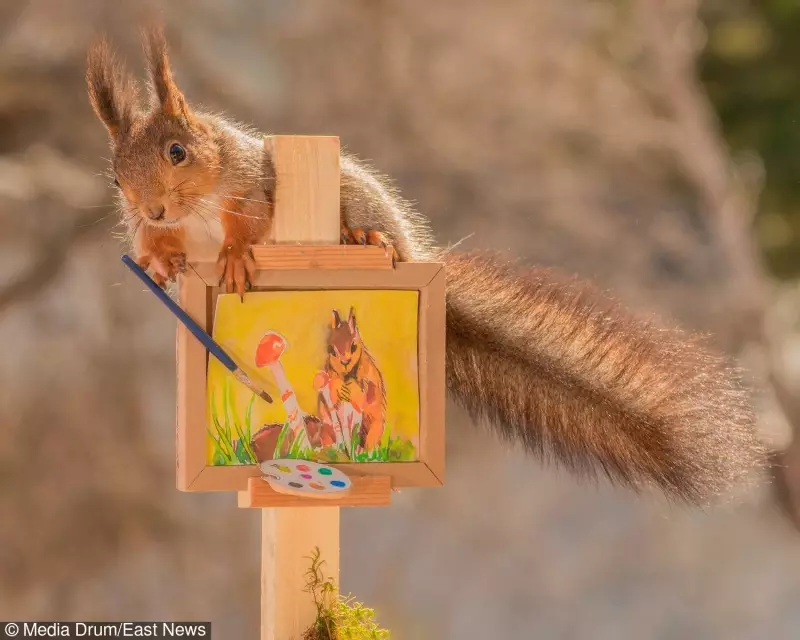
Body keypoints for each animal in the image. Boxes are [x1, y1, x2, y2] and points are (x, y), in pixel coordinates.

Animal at [86, 27, 764, 504]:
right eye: (116, 178)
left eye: (178, 152)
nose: (152, 205)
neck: (194, 211)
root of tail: (412, 253)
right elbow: (157, 250)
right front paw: (156, 266)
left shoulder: (252, 186)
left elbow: (247, 225)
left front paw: (230, 257)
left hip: (358, 197)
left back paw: (364, 234)